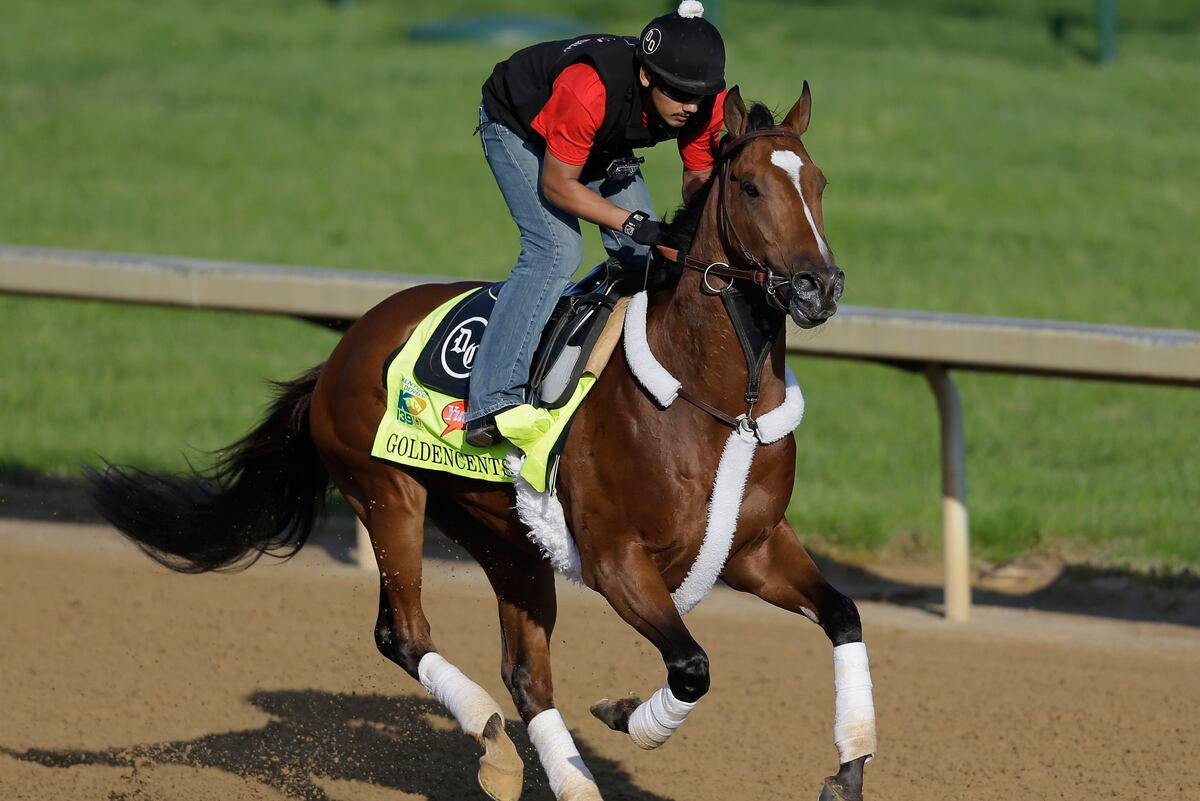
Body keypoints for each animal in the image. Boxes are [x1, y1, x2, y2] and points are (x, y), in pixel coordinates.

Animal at [89, 84, 876, 801]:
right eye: (750, 187)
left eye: (819, 184)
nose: (821, 287)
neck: (713, 403)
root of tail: (345, 347)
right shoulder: (616, 559)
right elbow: (691, 666)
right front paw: (625, 713)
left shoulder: (754, 546)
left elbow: (842, 614)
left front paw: (848, 770)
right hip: (389, 497)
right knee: (404, 635)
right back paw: (493, 743)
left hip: (506, 539)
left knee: (527, 675)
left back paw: (557, 779)